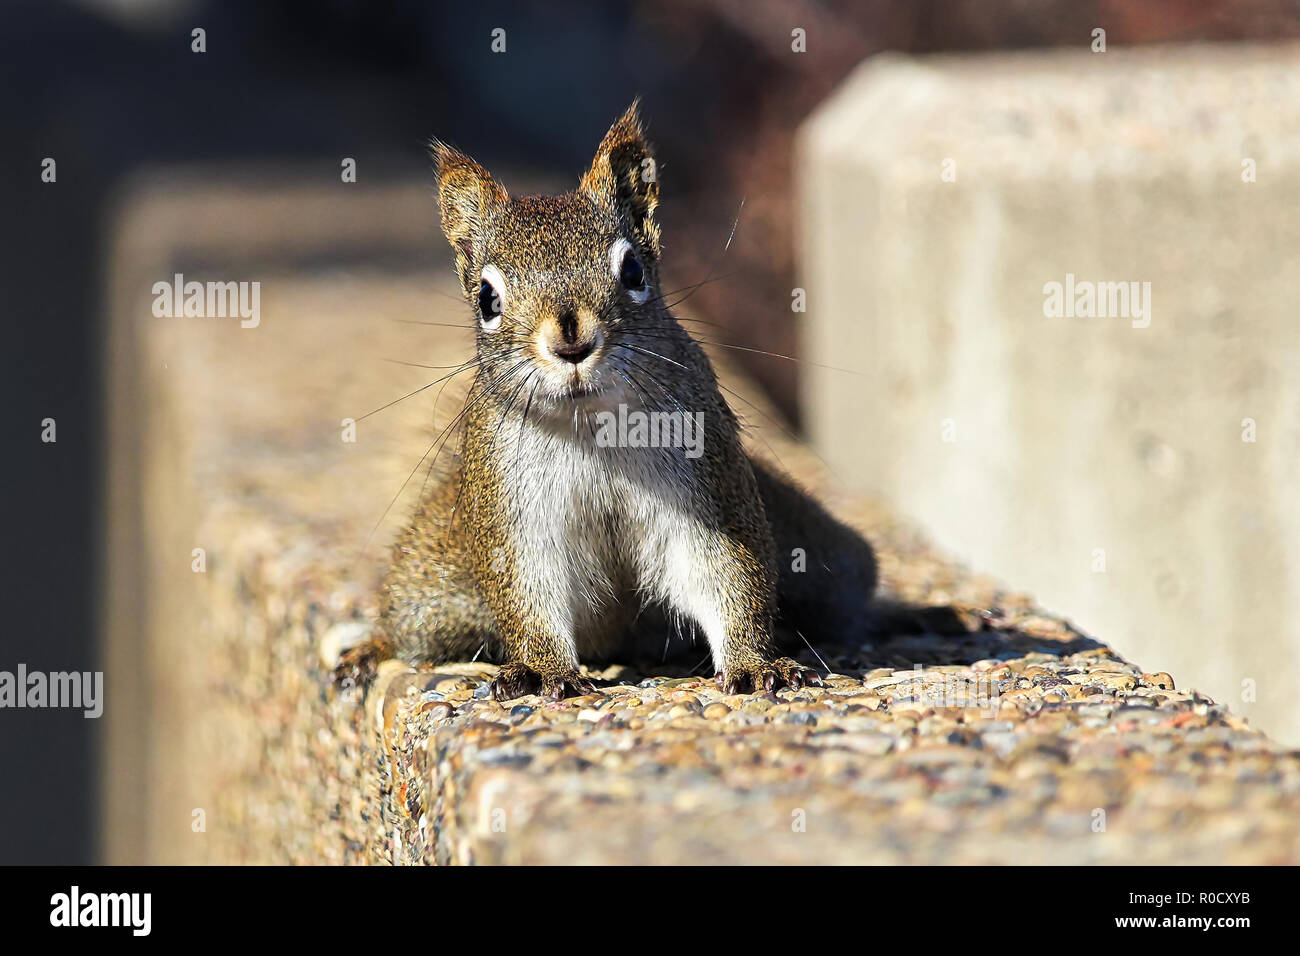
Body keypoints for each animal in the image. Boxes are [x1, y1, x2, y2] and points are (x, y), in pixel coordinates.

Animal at [335, 102, 877, 702]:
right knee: (409, 627)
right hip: (430, 578)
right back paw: (370, 649)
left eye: (634, 271)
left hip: (825, 555)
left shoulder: (707, 489)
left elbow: (726, 573)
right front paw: (547, 670)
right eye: (486, 298)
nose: (571, 341)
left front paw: (754, 662)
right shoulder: (512, 512)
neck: (591, 423)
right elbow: (527, 591)